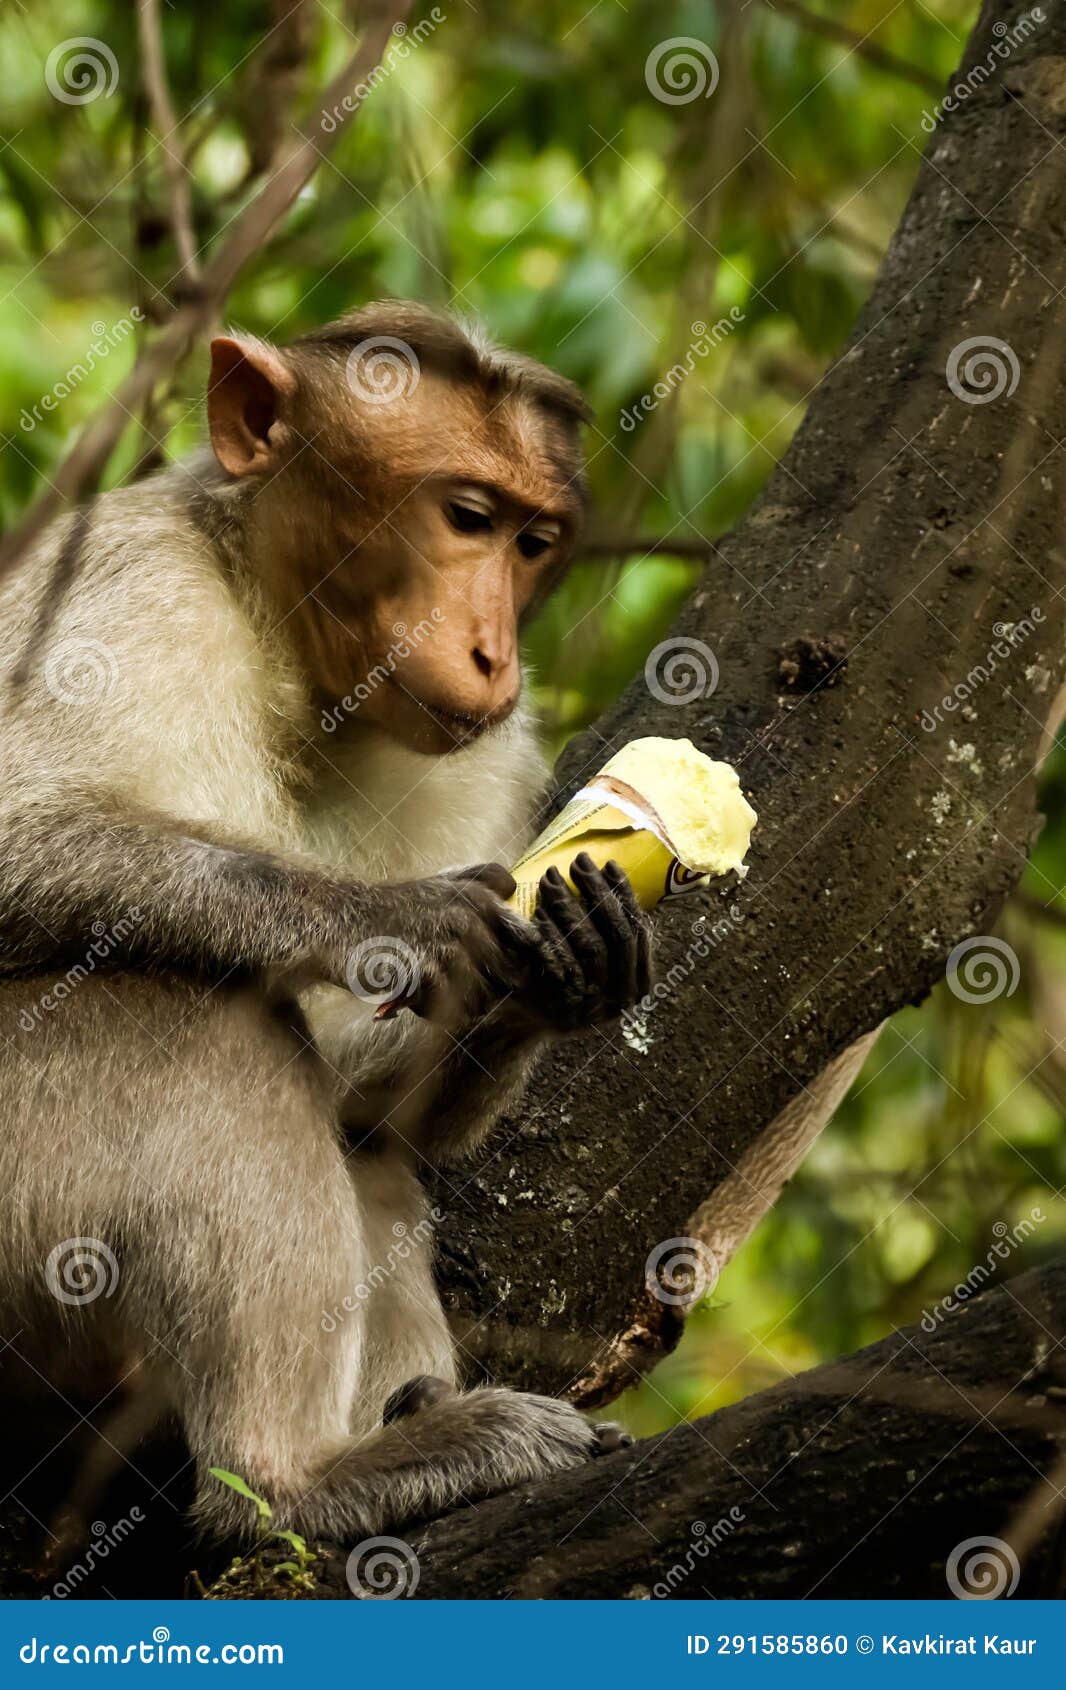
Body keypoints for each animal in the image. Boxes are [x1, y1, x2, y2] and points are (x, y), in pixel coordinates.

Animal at [0, 301, 654, 1548]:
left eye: (533, 543)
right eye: (466, 518)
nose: (494, 654)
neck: (285, 644)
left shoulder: (485, 752)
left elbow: (371, 1106)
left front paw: (547, 976)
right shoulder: (119, 582)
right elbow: (19, 831)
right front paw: (391, 920)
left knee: (364, 1151)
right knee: (197, 1019)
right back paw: (291, 1476)